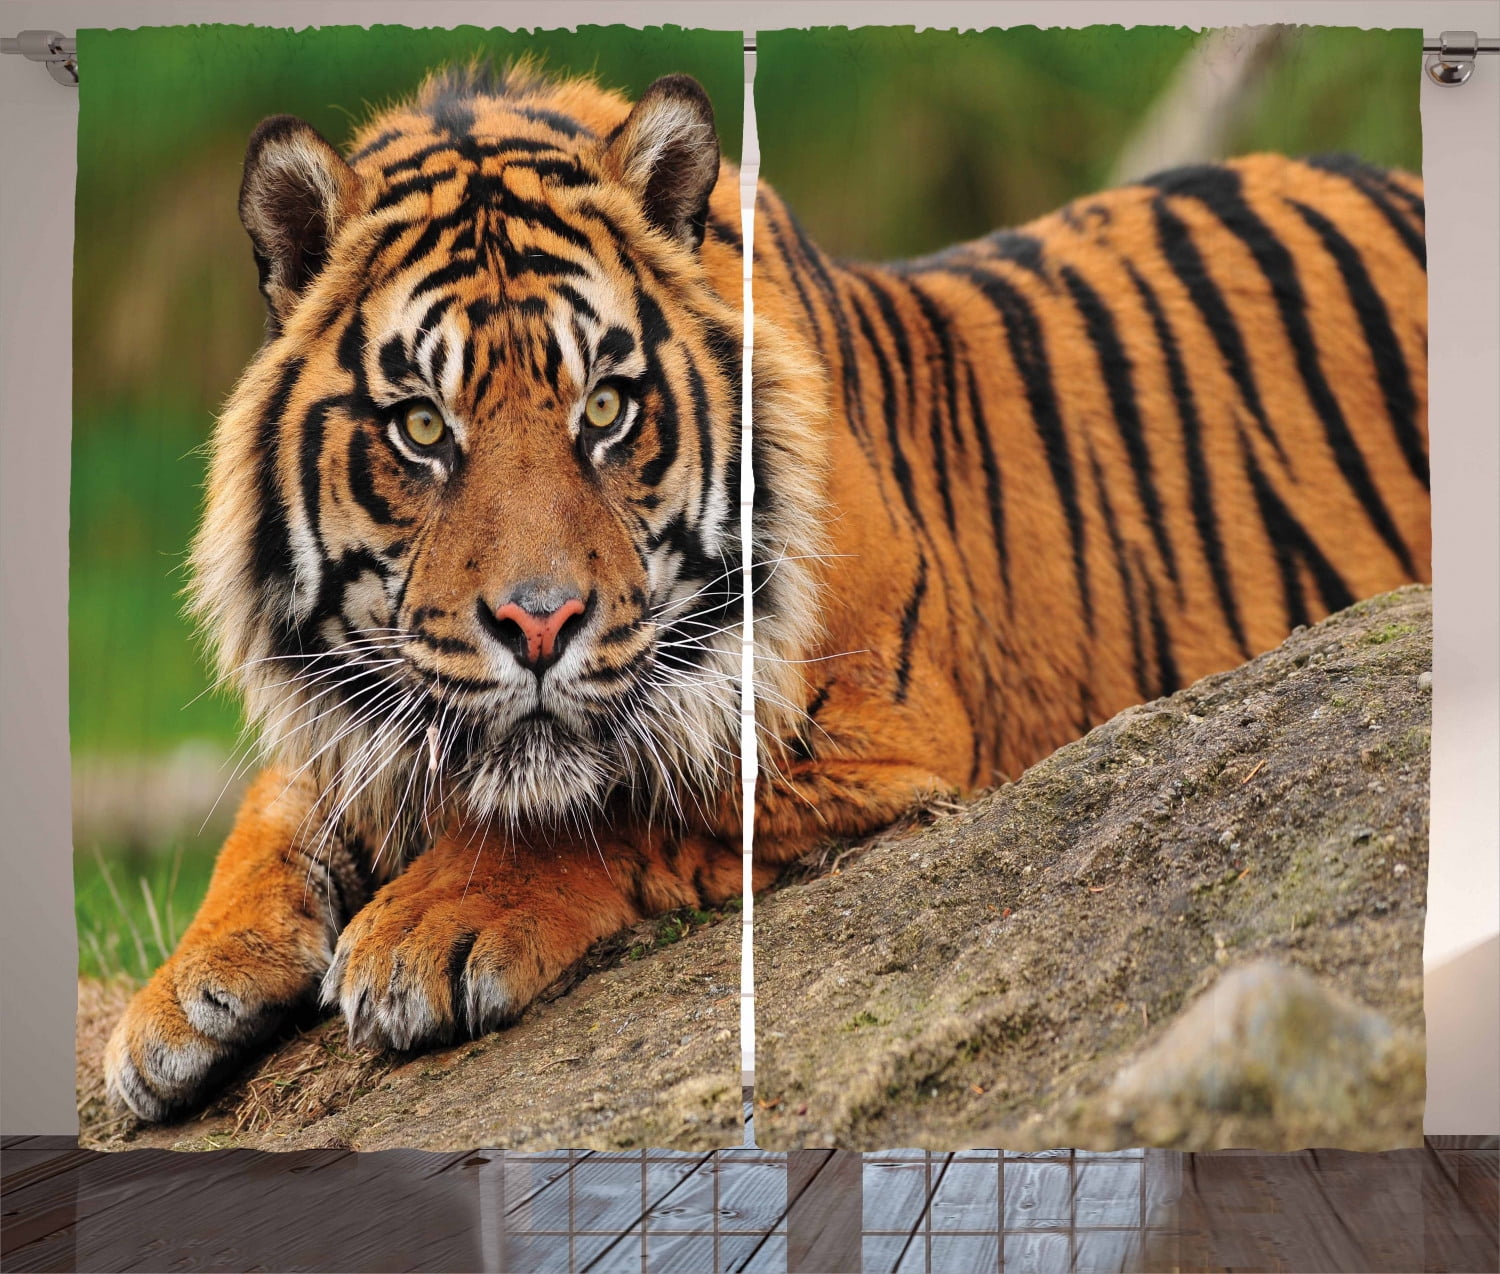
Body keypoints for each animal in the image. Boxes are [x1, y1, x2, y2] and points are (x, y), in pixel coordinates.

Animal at [103, 62, 1428, 1124]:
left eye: (605, 407)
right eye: (423, 426)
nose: (539, 623)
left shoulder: (874, 738)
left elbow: (614, 798)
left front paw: (431, 926)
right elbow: (284, 799)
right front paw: (178, 1000)